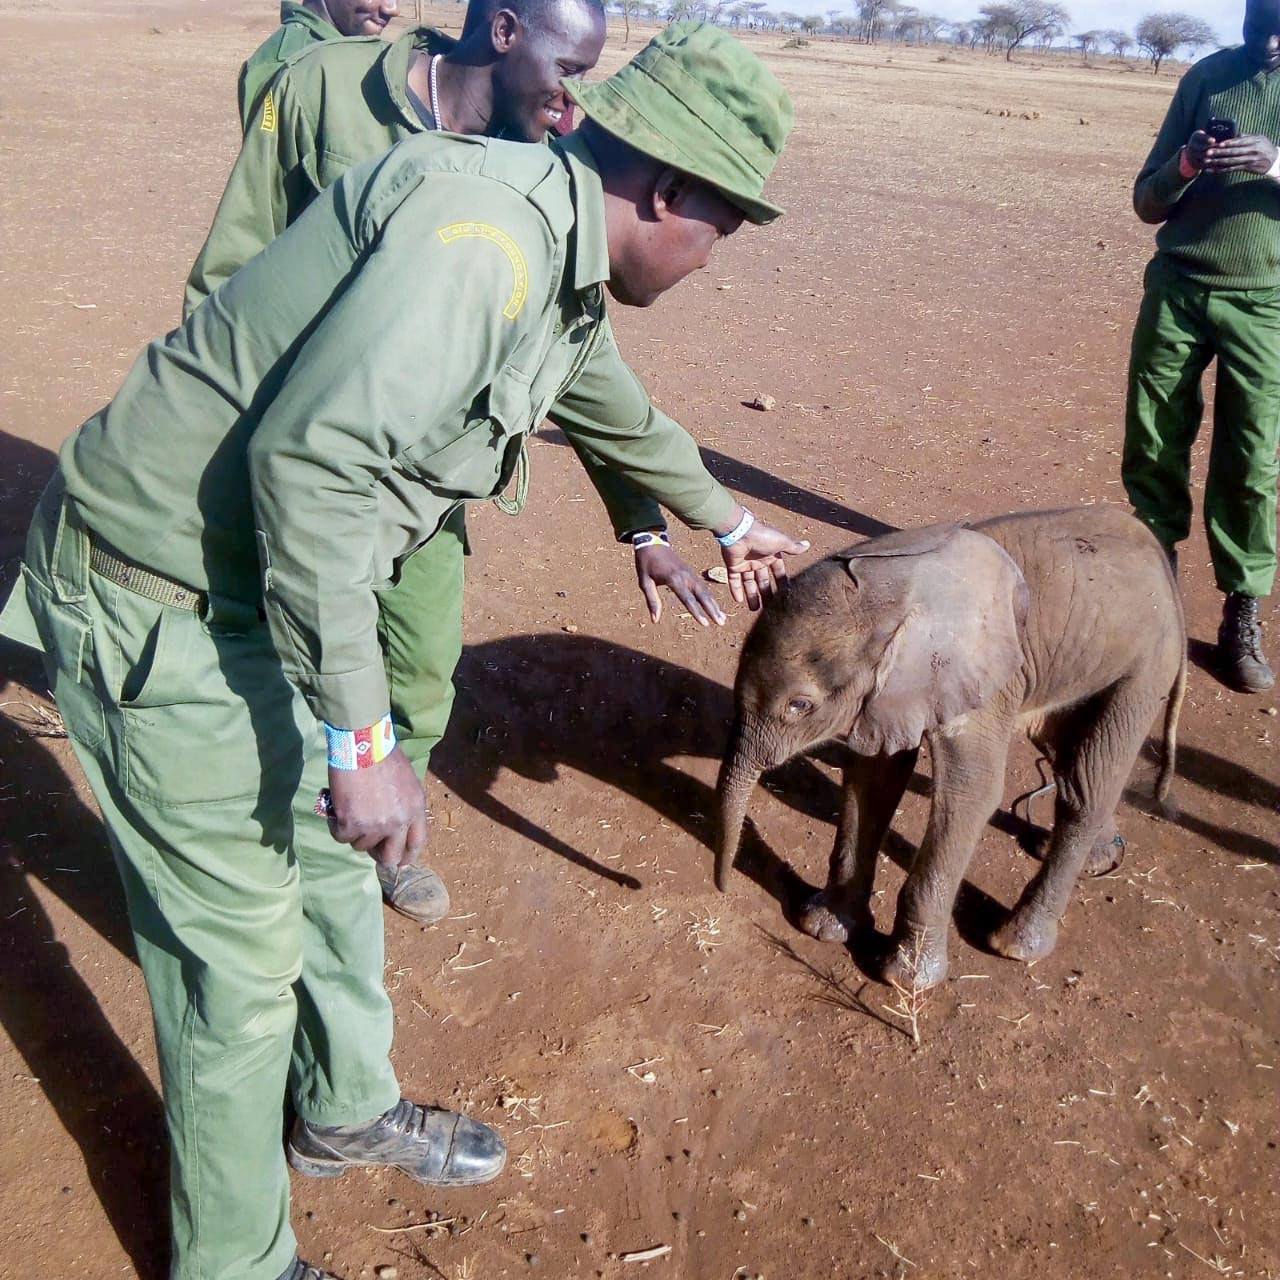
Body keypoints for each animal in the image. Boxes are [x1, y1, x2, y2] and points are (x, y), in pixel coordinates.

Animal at [716, 506, 1186, 989]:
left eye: (800, 705)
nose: (724, 888)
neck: (892, 589)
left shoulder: (979, 678)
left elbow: (969, 796)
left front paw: (906, 980)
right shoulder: (892, 689)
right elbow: (873, 779)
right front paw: (824, 926)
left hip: (1146, 664)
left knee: (1088, 787)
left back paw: (1015, 945)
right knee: (1067, 756)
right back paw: (1097, 860)